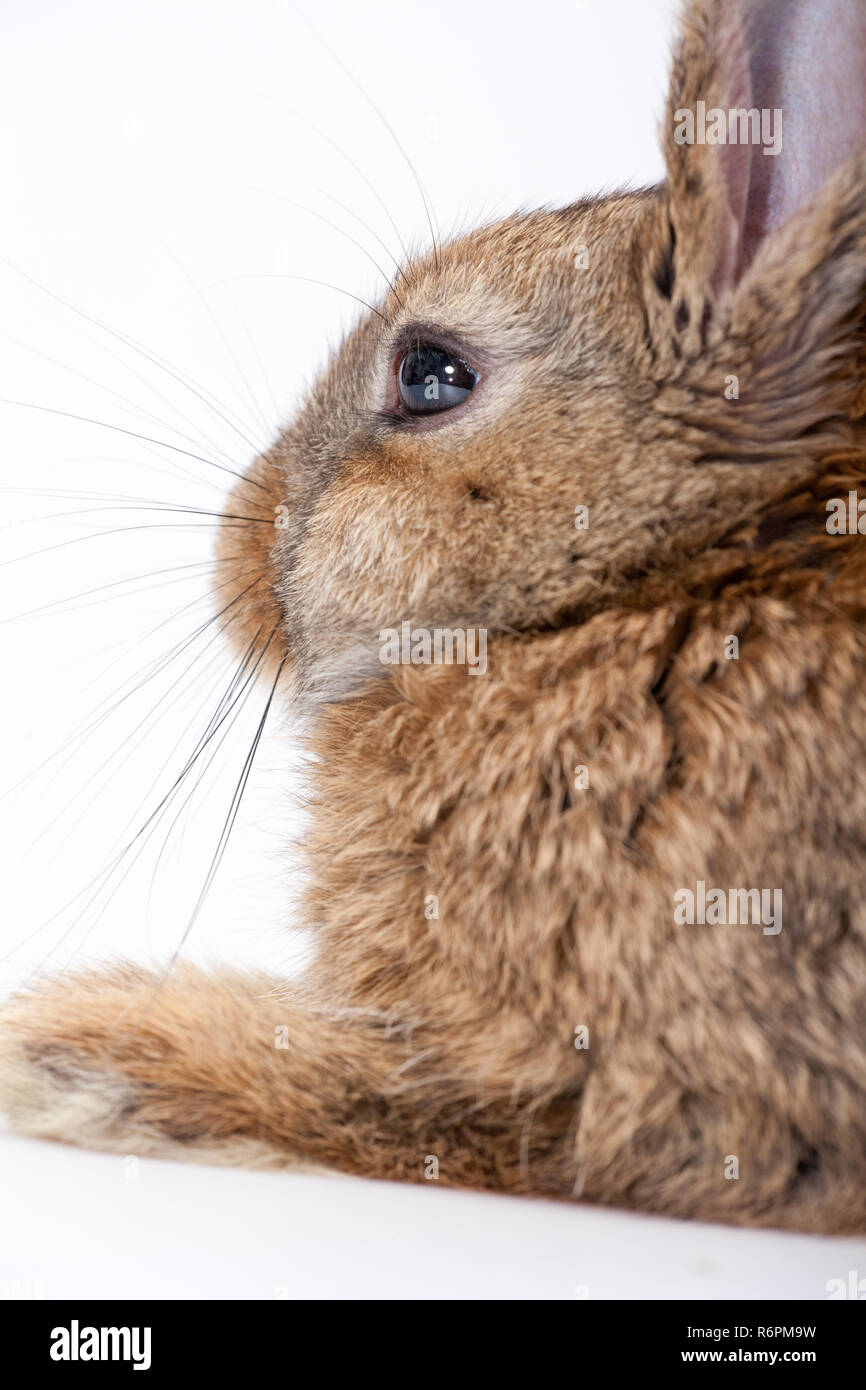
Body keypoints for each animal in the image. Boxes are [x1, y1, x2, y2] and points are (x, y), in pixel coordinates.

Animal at [3, 0, 866, 1233]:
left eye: (429, 375)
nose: (233, 544)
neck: (663, 578)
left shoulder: (654, 1089)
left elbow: (379, 1098)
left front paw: (75, 1040)